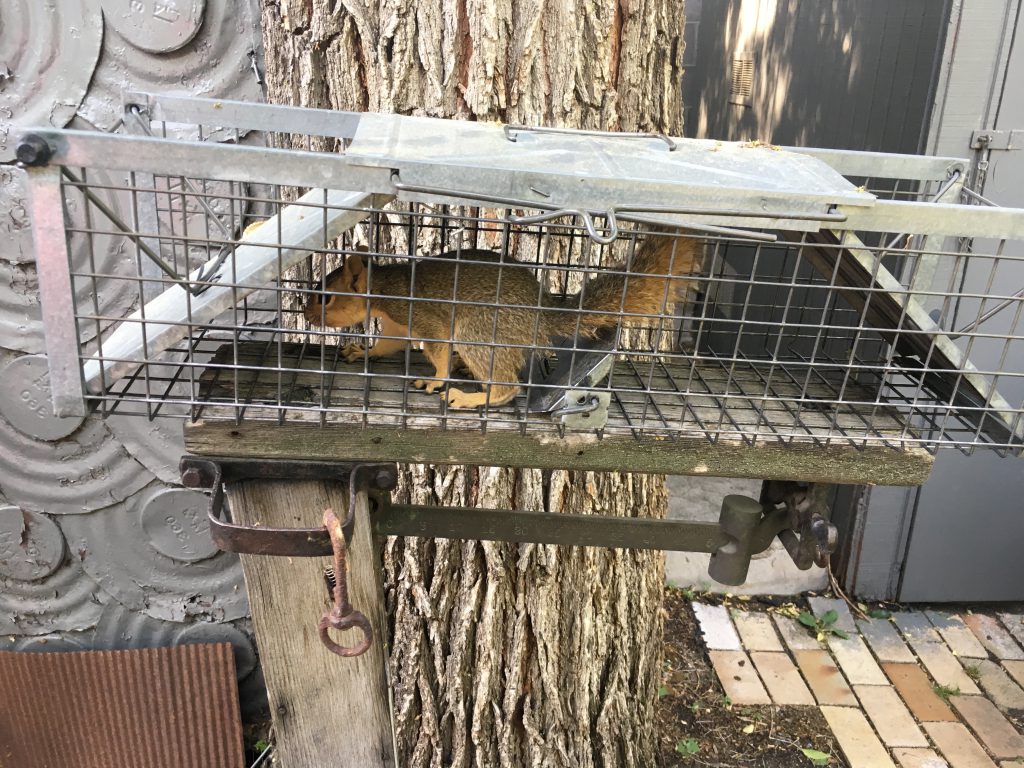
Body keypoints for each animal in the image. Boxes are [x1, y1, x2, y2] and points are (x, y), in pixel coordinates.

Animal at [303, 232, 700, 409]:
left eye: (325, 297)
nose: (305, 314)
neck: (384, 288)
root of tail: (541, 317)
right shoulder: (397, 323)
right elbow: (389, 344)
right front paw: (361, 352)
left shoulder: (419, 314)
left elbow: (437, 345)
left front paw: (436, 378)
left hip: (478, 331)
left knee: (508, 387)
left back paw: (469, 397)